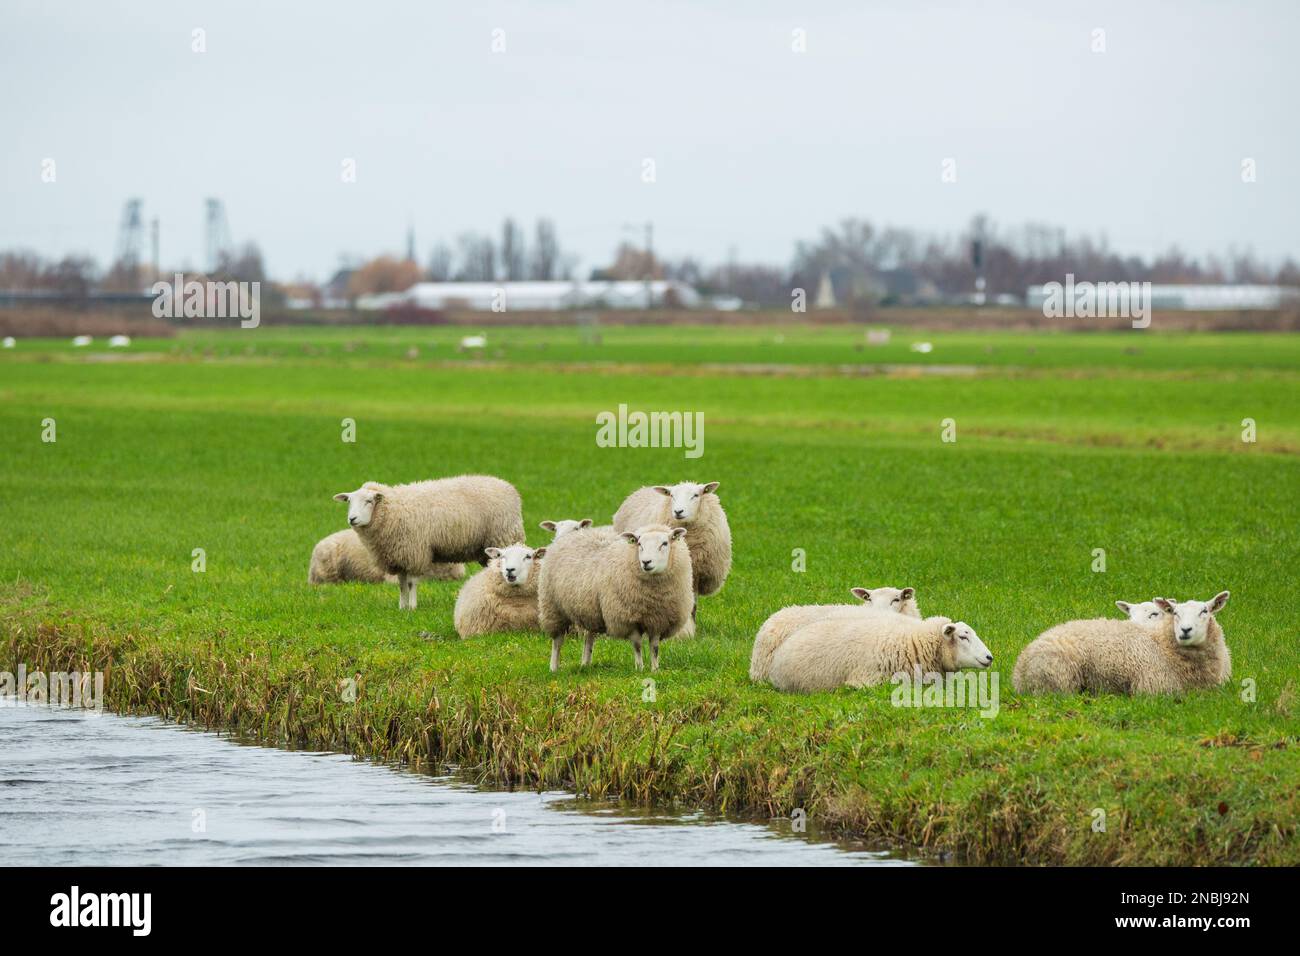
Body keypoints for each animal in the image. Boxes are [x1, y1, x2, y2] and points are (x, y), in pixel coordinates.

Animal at [333, 474, 524, 611]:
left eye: (369, 501)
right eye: (349, 501)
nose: (352, 519)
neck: (393, 509)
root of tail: (509, 487)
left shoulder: (415, 552)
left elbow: (411, 583)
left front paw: (412, 607)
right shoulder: (400, 555)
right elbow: (401, 585)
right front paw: (402, 607)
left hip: (504, 538)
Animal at [538, 523, 693, 672]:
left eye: (665, 543)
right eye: (639, 544)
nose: (646, 562)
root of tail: (570, 536)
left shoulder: (658, 620)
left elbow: (654, 648)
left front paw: (655, 669)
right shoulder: (627, 619)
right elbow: (637, 645)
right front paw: (640, 668)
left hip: (589, 609)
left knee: (589, 637)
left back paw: (585, 664)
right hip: (552, 607)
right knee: (557, 641)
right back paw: (553, 668)